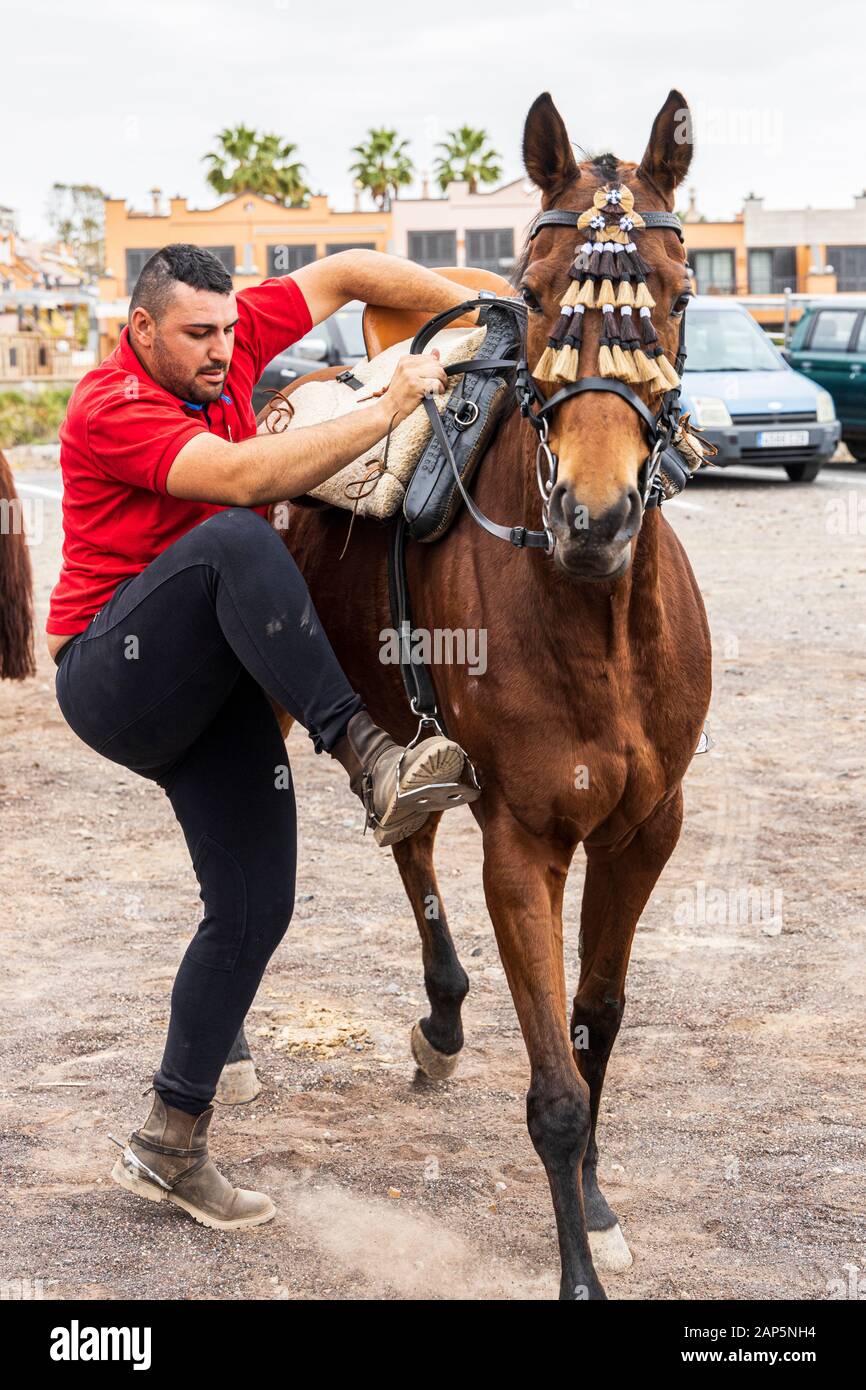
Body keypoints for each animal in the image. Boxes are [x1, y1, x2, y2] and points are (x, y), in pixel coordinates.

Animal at [230, 89, 712, 1300]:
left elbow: (594, 1029)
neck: (596, 623)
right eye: (532, 293)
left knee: (408, 837)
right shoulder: (524, 844)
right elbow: (552, 1090)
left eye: (679, 294)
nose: (592, 515)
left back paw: (442, 1020)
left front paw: (597, 1208)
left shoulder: (645, 831)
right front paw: (577, 1268)